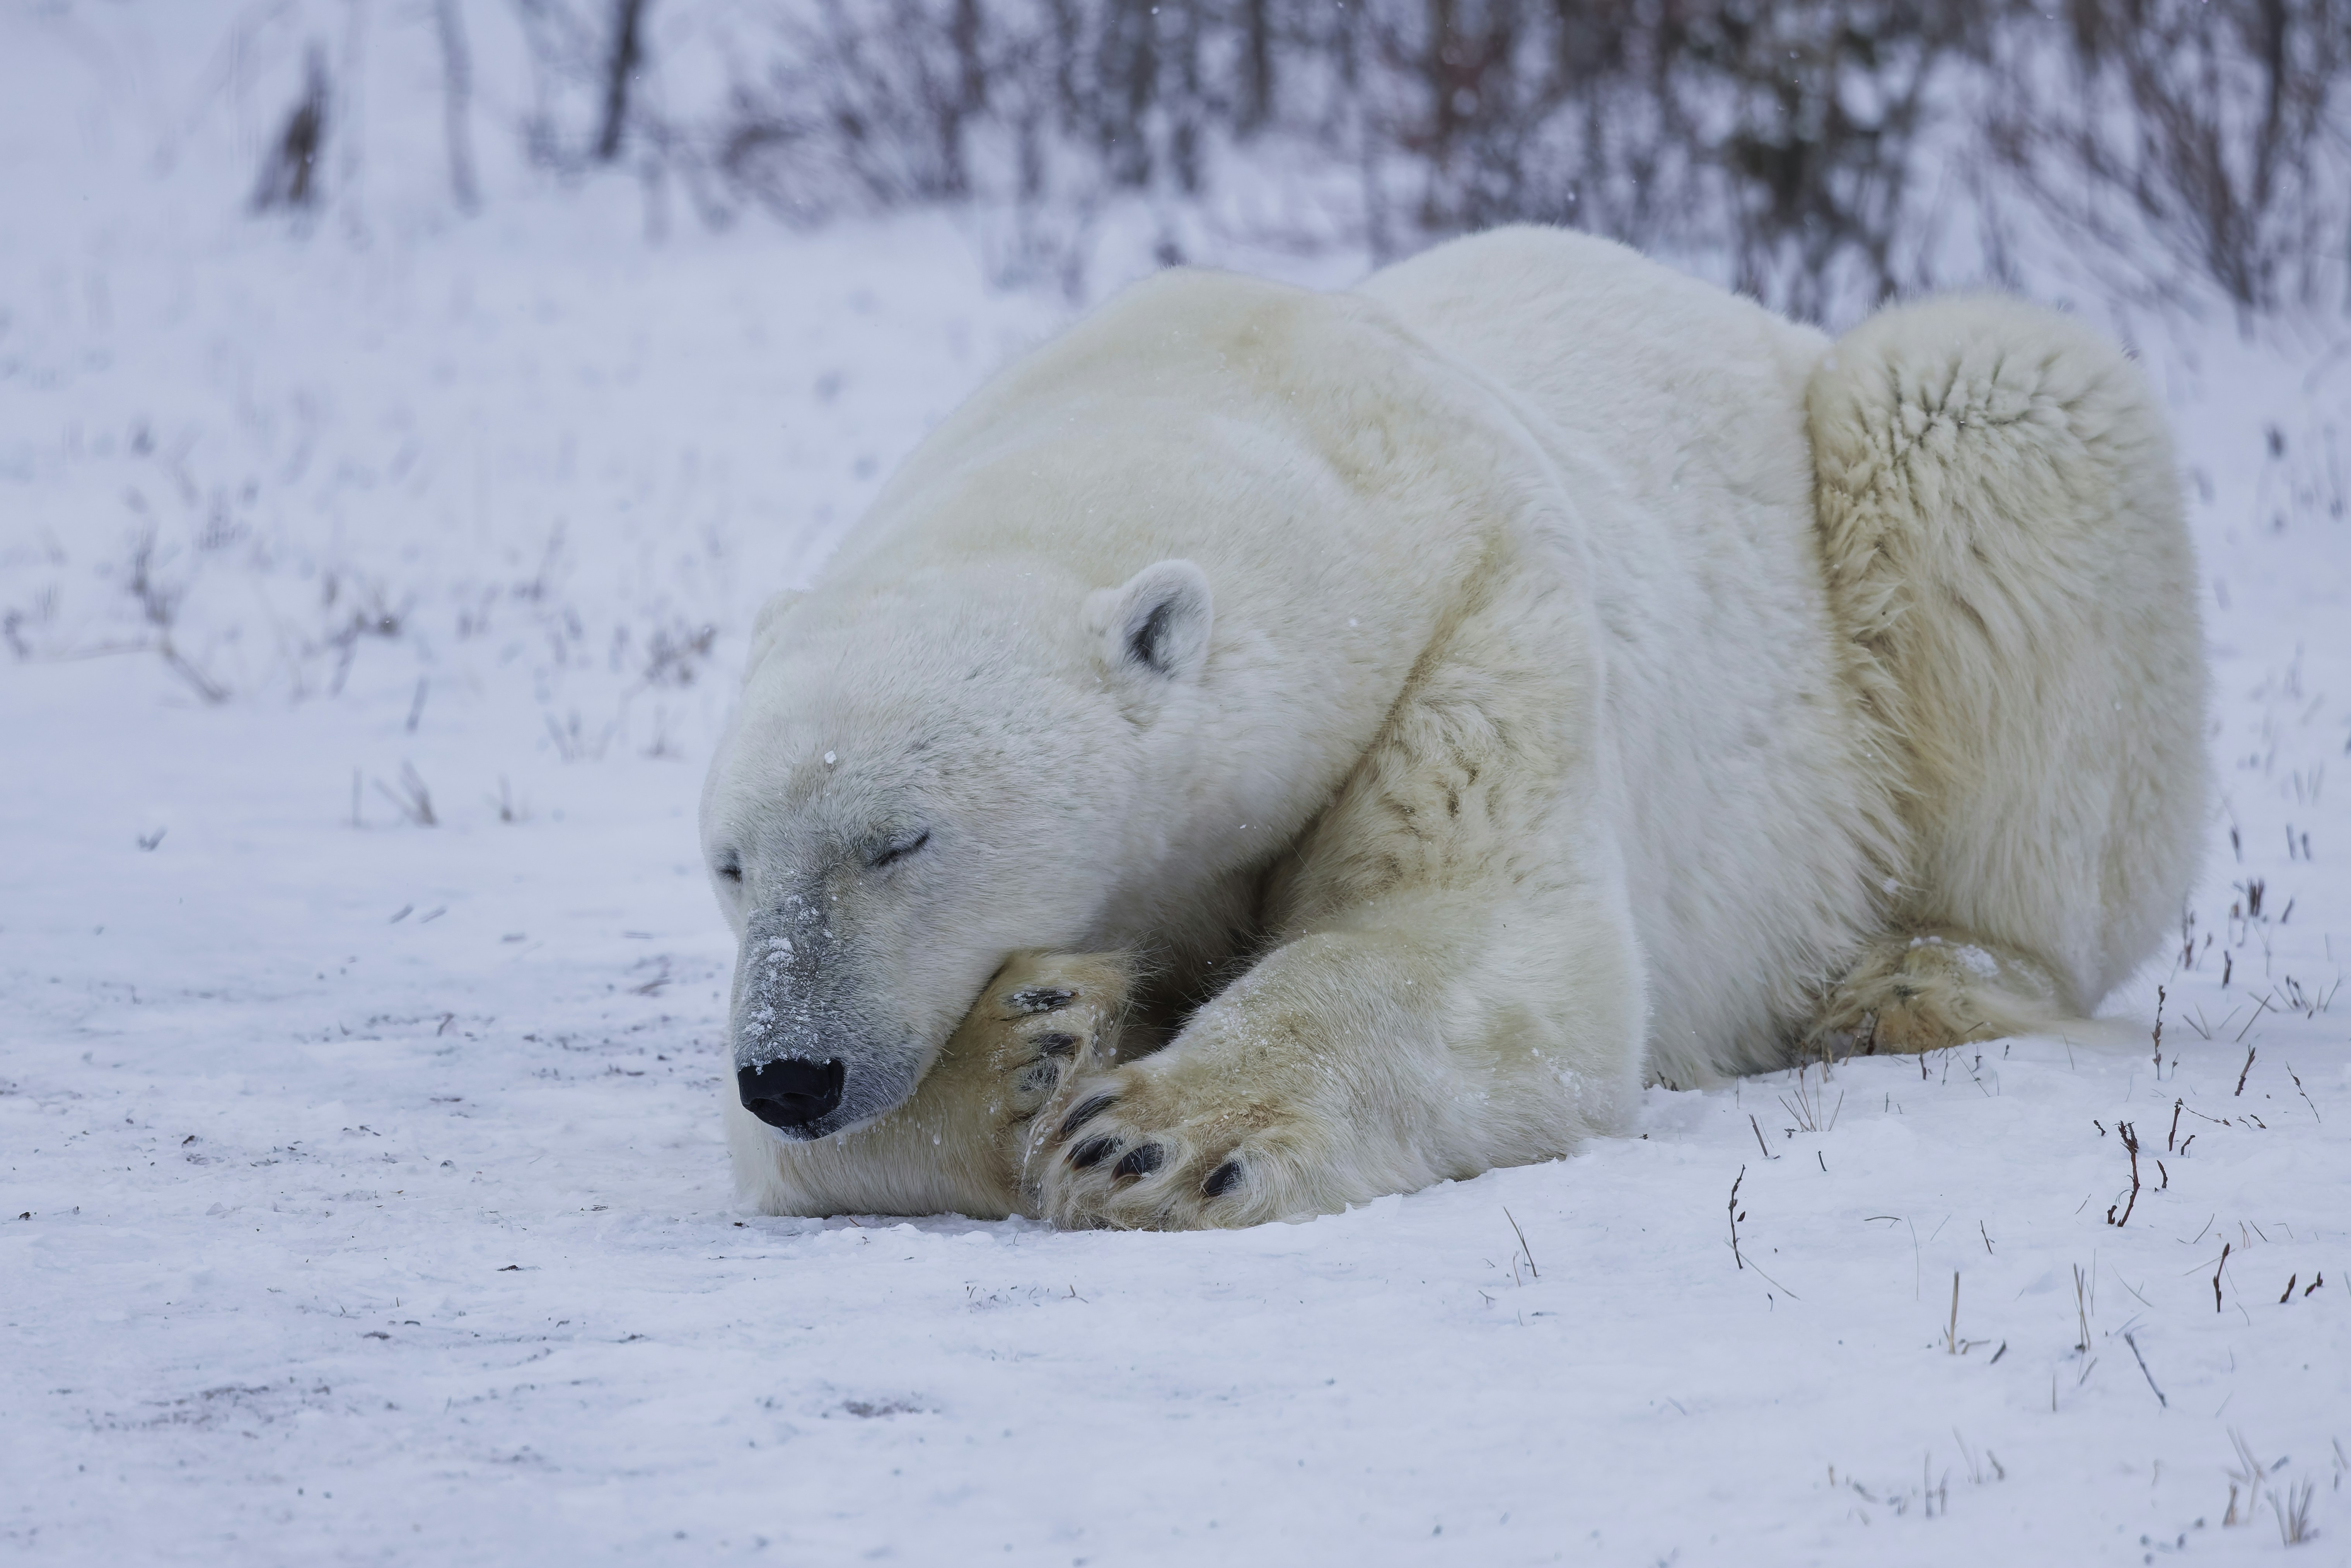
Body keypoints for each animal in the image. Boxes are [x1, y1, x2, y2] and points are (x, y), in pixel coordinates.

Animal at [700, 225, 2206, 1230]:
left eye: (900, 840)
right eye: (730, 864)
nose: (791, 1069)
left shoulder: (1486, 603)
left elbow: (1474, 934)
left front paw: (1155, 1137)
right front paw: (1023, 1048)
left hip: (1916, 510)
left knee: (1992, 407)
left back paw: (1915, 982)